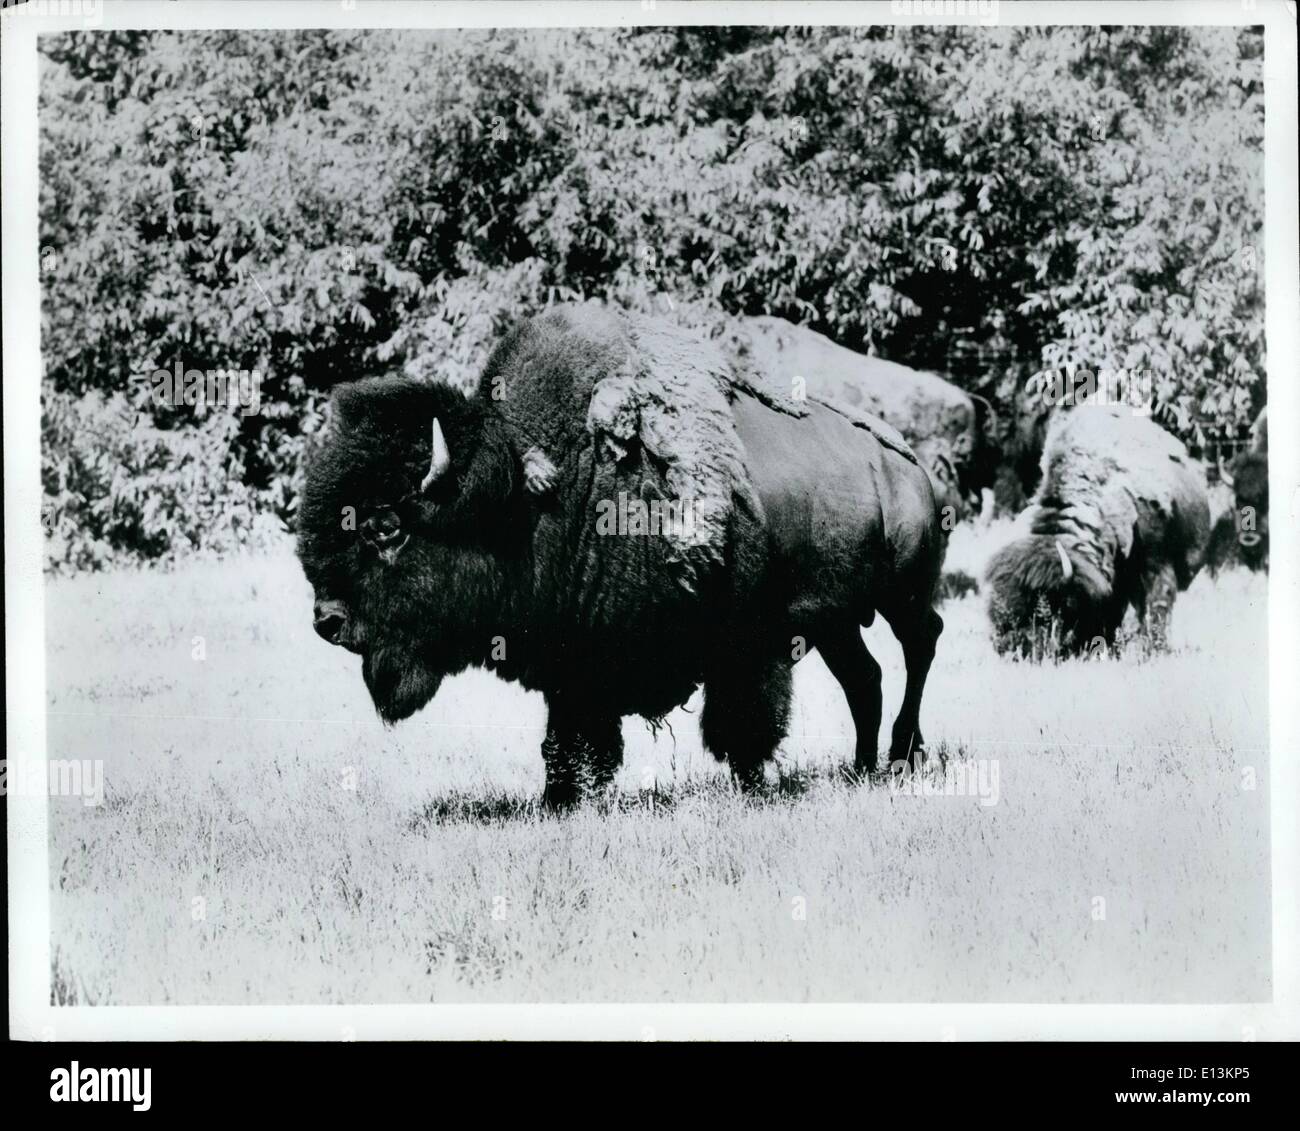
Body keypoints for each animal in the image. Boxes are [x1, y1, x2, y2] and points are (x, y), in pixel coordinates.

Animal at [297, 304, 945, 807]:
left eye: (386, 527)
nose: (328, 620)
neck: (530, 497)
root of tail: (913, 468)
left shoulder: (745, 645)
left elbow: (742, 724)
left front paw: (753, 787)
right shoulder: (576, 658)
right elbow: (568, 739)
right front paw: (559, 800)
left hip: (902, 596)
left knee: (919, 645)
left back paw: (901, 755)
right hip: (838, 621)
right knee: (865, 678)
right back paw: (861, 768)